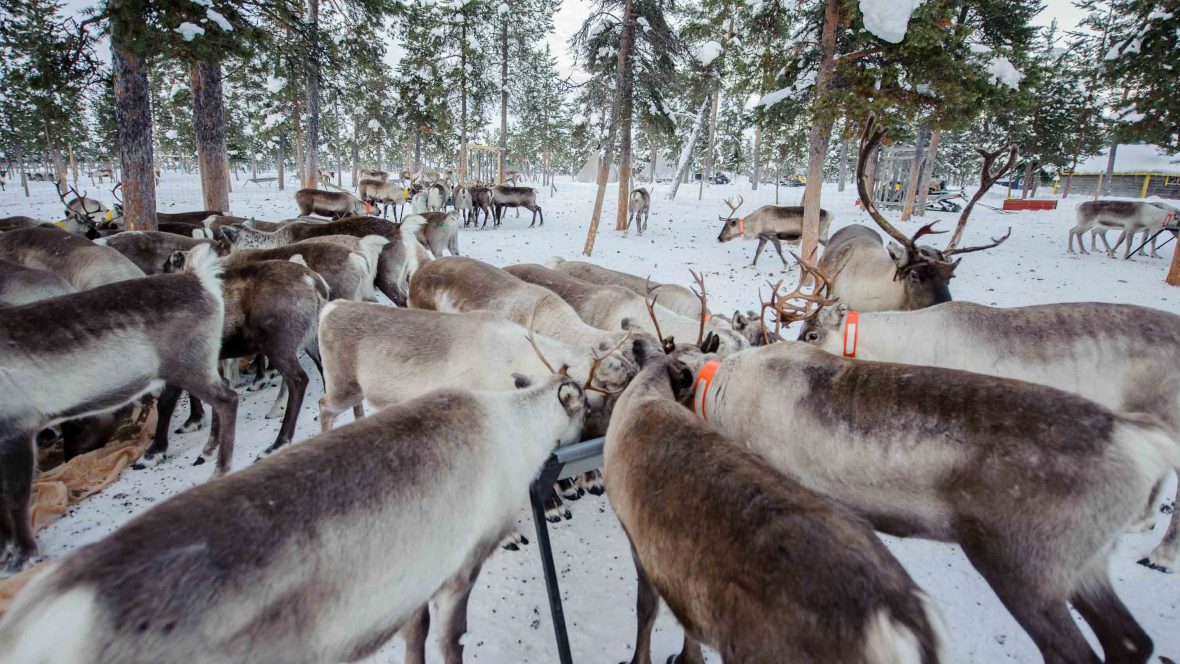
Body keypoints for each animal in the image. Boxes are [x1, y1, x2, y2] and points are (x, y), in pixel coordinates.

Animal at [0, 245, 237, 572]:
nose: (70, 455)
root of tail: (198, 278)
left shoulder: (18, 425)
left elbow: (15, 495)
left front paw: (23, 554)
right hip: (189, 366)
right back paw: (186, 451)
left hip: (188, 364)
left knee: (227, 399)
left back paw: (219, 466)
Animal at [0, 373, 586, 664]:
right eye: (582, 404)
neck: (516, 429)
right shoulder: (461, 566)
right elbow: (450, 641)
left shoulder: (413, 580)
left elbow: (413, 638)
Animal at [676, 280, 1177, 663]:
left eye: (814, 332)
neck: (721, 388)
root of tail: (1138, 444)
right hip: (1083, 567)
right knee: (1131, 641)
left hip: (1027, 569)